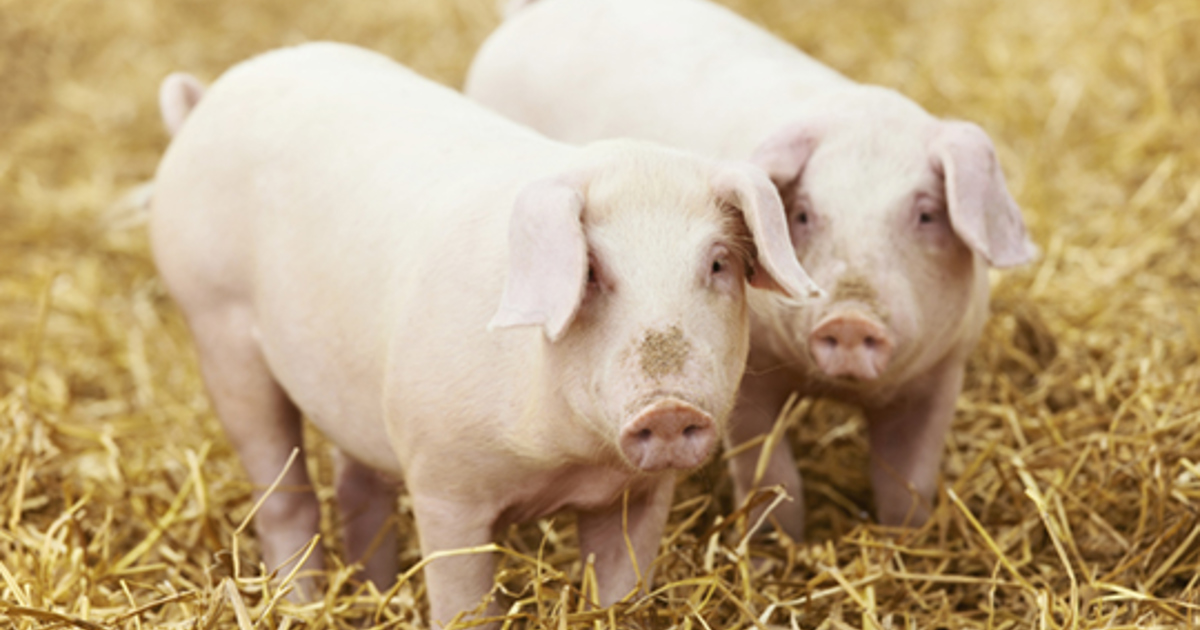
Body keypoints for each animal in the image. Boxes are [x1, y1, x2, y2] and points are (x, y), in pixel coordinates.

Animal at [151, 42, 820, 625]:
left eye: (717, 263)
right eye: (592, 270)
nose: (670, 408)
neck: (564, 460)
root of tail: (208, 99)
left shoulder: (638, 494)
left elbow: (619, 593)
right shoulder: (443, 483)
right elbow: (463, 603)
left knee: (356, 488)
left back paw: (374, 596)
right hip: (216, 325)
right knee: (285, 497)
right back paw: (301, 603)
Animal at [466, 0, 1034, 539]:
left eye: (927, 214)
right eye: (802, 213)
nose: (850, 319)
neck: (837, 389)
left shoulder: (942, 373)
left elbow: (907, 484)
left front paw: (904, 539)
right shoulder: (749, 372)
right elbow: (771, 474)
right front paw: (771, 549)